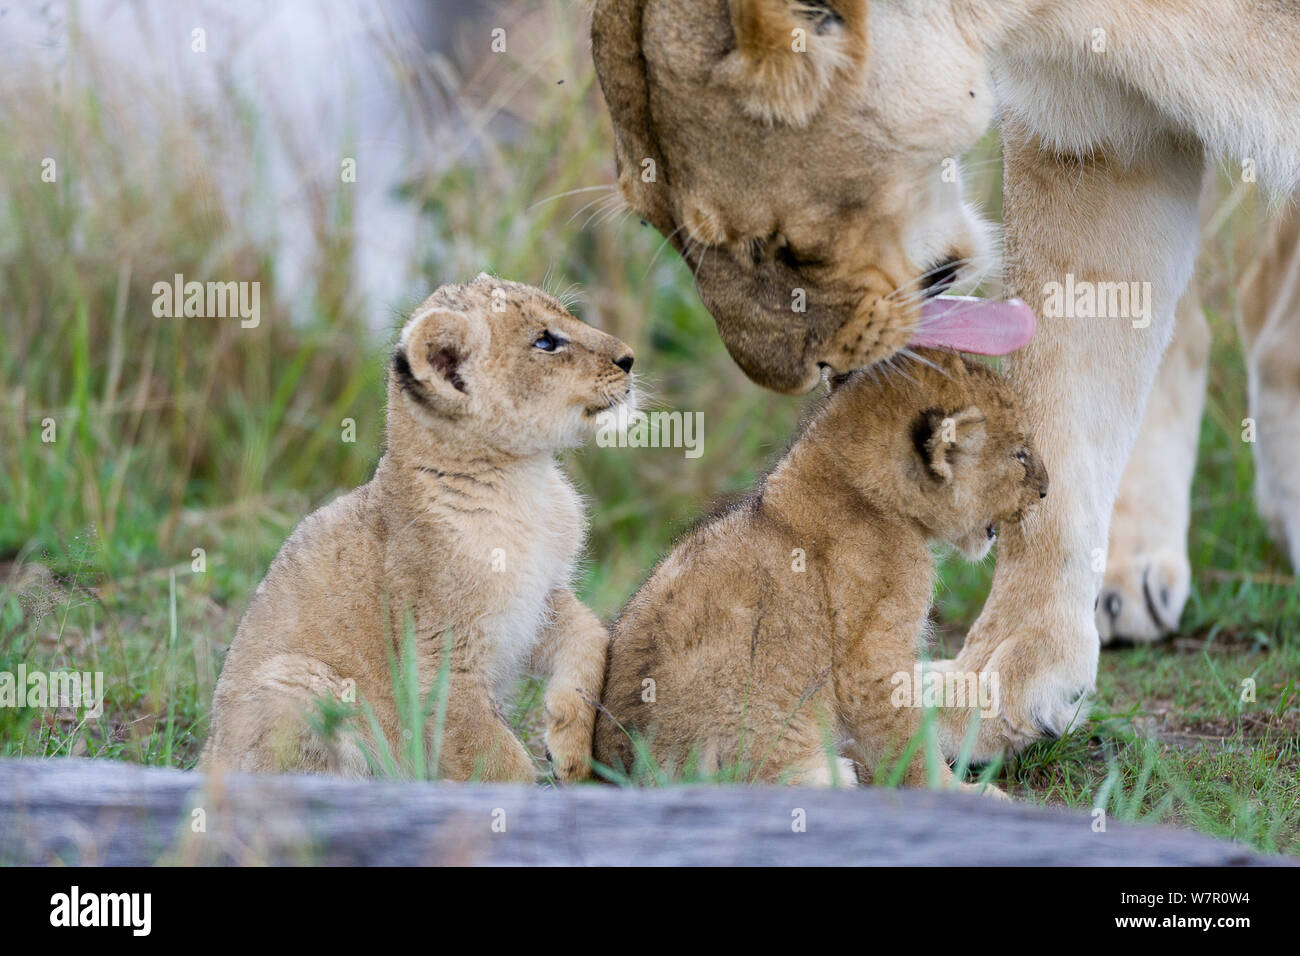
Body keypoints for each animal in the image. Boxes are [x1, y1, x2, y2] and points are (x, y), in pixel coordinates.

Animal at [203, 275, 635, 781]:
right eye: (545, 342)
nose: (629, 358)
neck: (524, 481)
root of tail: (207, 756)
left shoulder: (540, 597)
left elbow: (591, 636)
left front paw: (569, 747)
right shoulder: (438, 650)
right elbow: (494, 756)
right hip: (297, 680)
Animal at [594, 349, 1047, 794]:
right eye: (1020, 454)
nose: (1046, 490)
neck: (853, 484)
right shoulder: (871, 656)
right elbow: (907, 738)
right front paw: (956, 790)